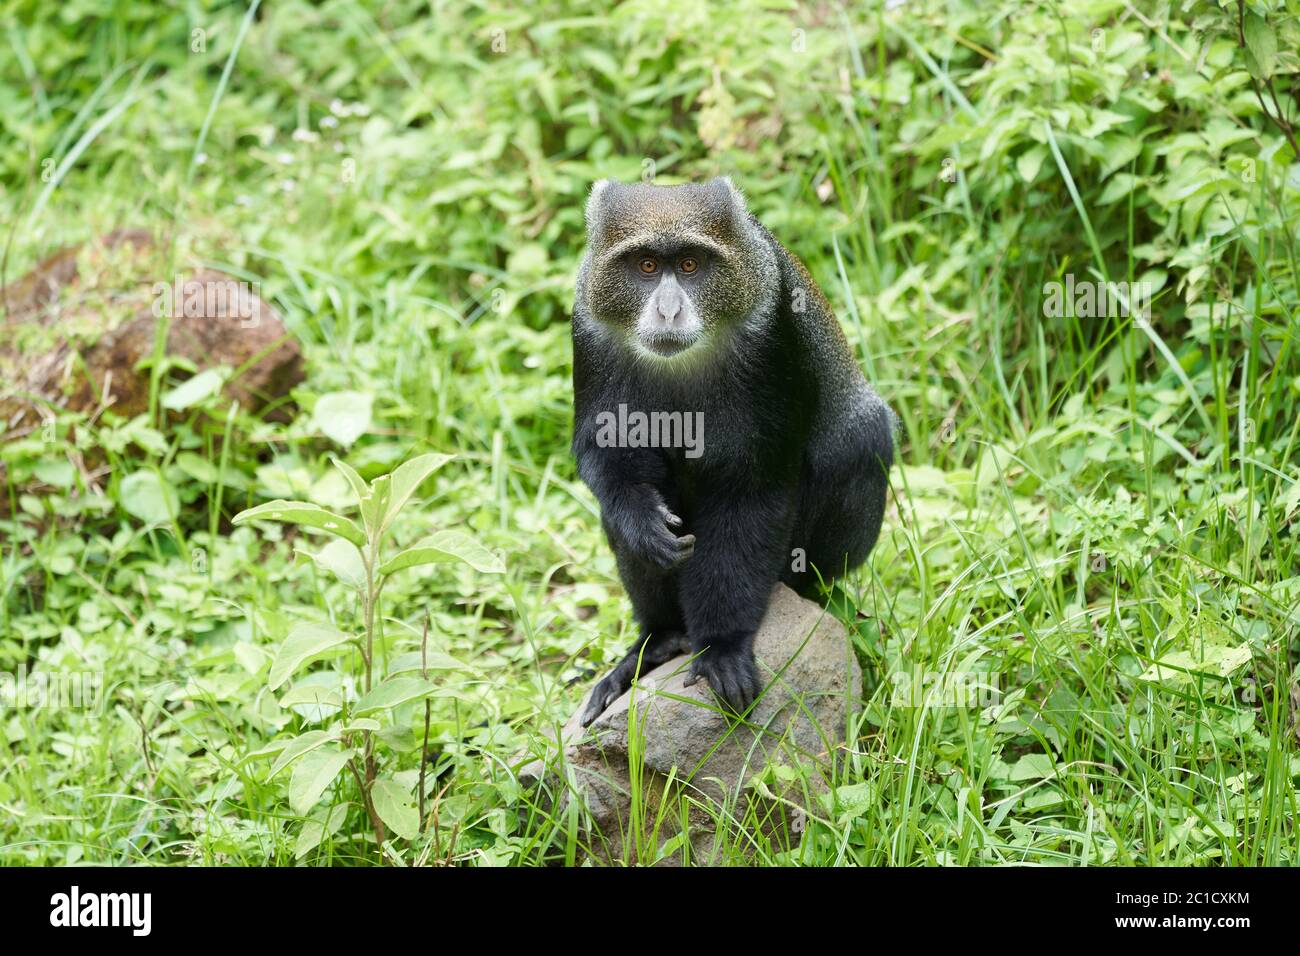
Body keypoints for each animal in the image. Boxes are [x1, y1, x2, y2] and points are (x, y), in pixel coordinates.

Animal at [571, 177, 895, 727]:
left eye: (690, 265)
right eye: (647, 266)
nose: (669, 309)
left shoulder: (771, 332)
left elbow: (750, 494)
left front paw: (722, 647)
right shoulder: (587, 327)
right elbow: (606, 455)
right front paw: (641, 520)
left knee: (861, 439)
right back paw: (658, 641)